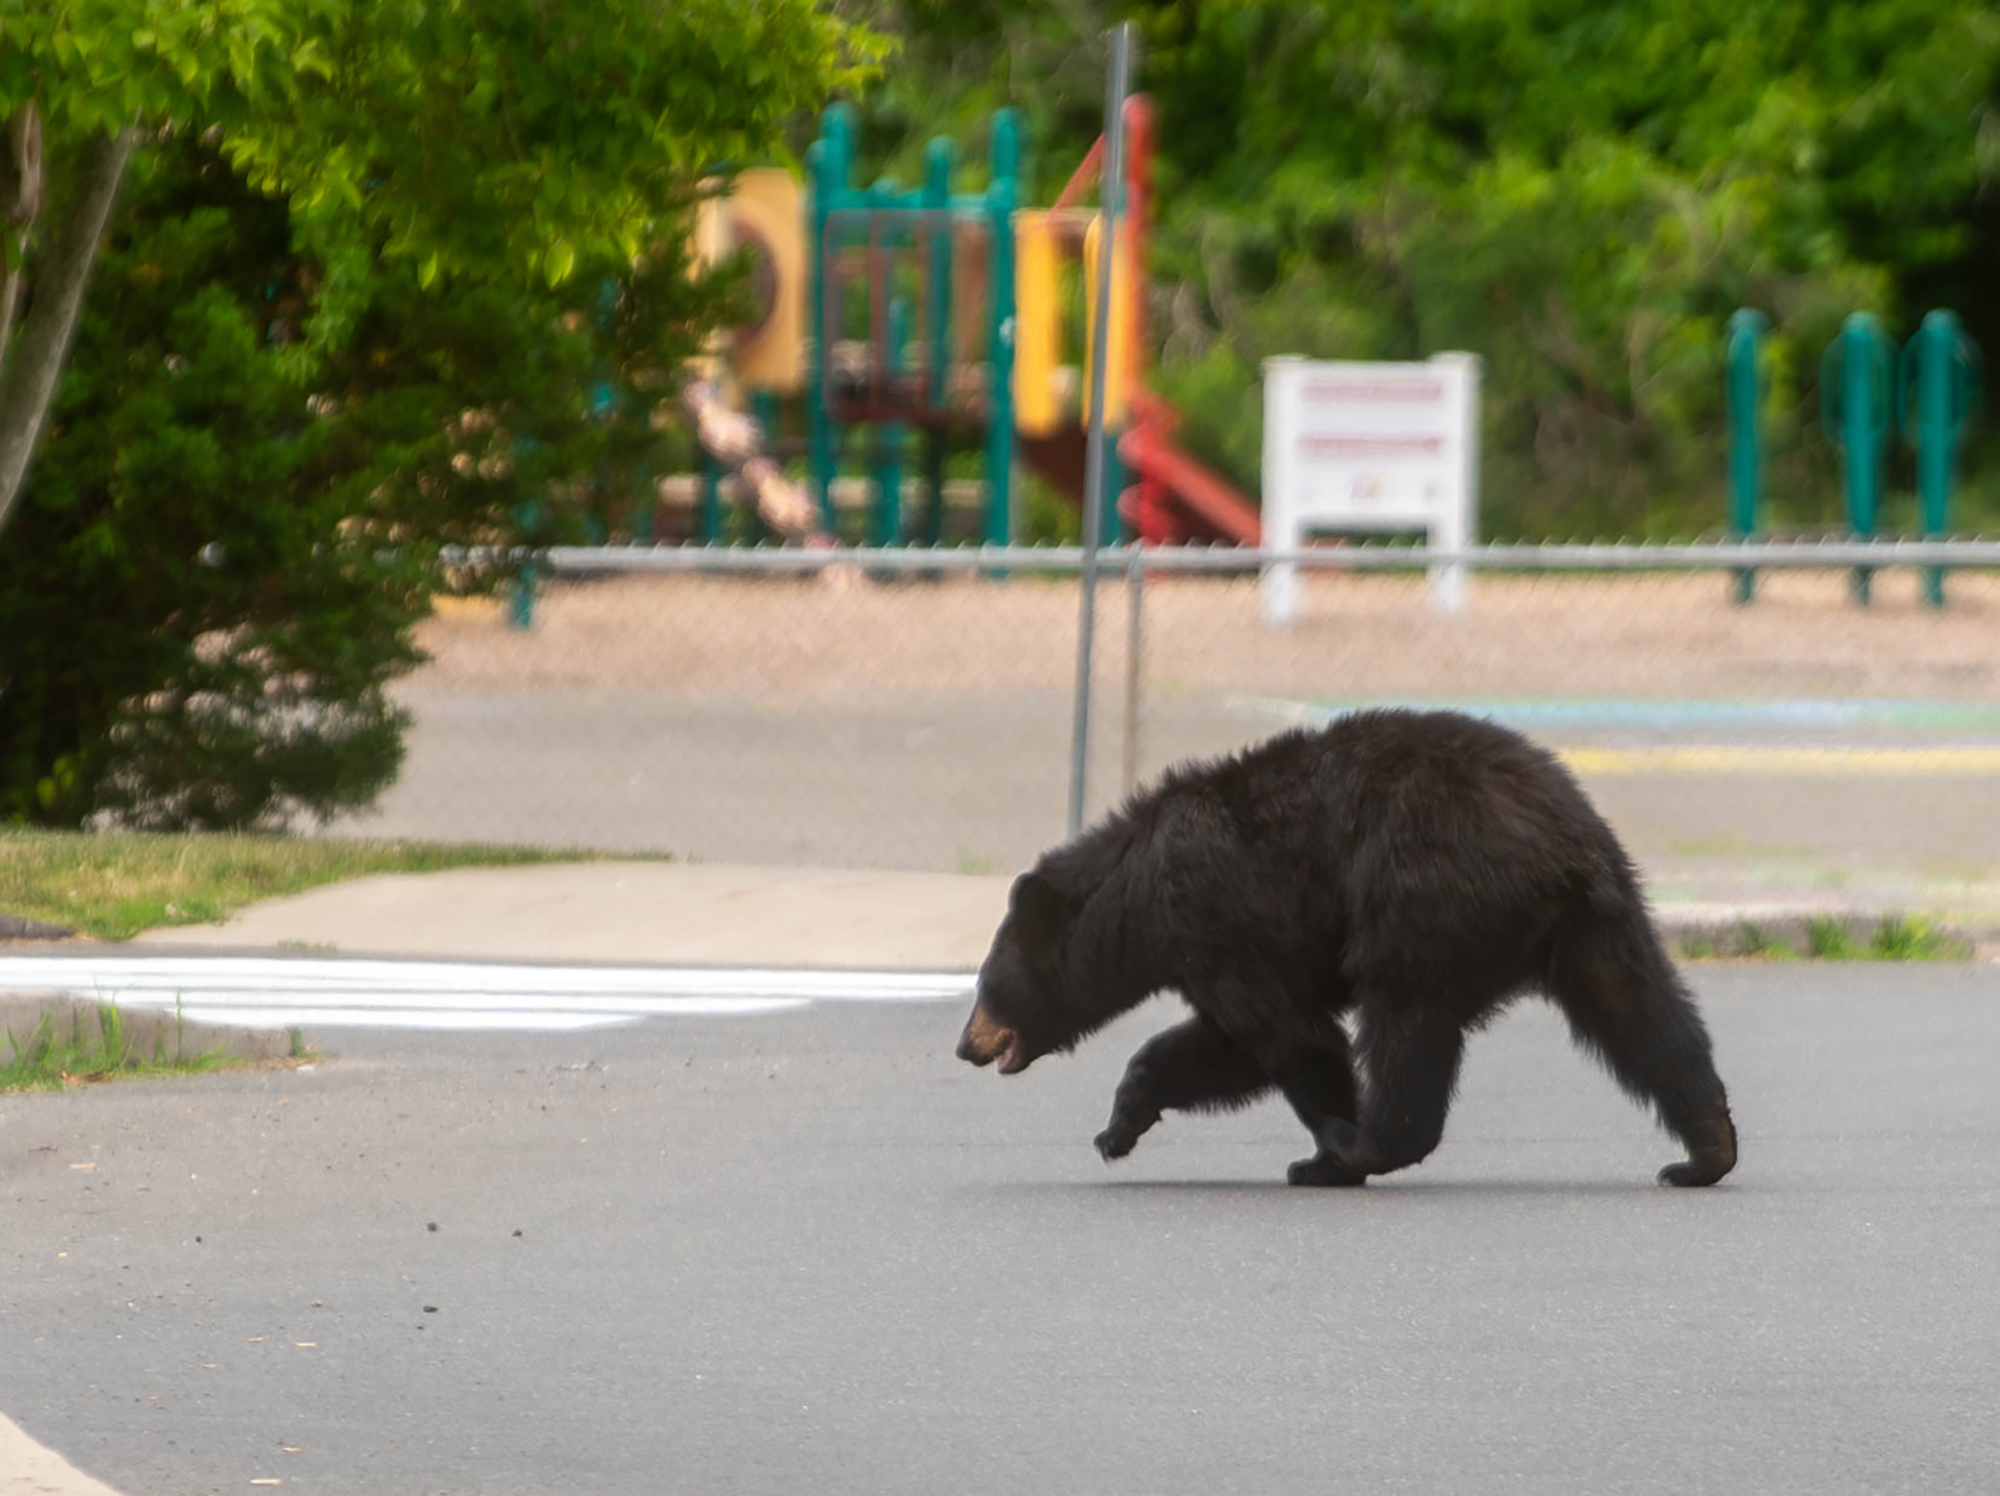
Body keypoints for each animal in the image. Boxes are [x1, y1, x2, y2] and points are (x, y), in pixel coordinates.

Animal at [955, 708, 1737, 1187]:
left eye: (986, 983)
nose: (965, 1046)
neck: (1138, 895)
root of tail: (1561, 844)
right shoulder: (1209, 947)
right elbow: (1219, 1045)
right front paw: (1118, 1129)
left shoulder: (1215, 923)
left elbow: (1290, 1036)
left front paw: (1327, 1156)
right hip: (1598, 921)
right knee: (1644, 1015)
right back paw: (1705, 1151)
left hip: (1424, 900)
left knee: (1405, 1026)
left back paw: (1359, 1141)